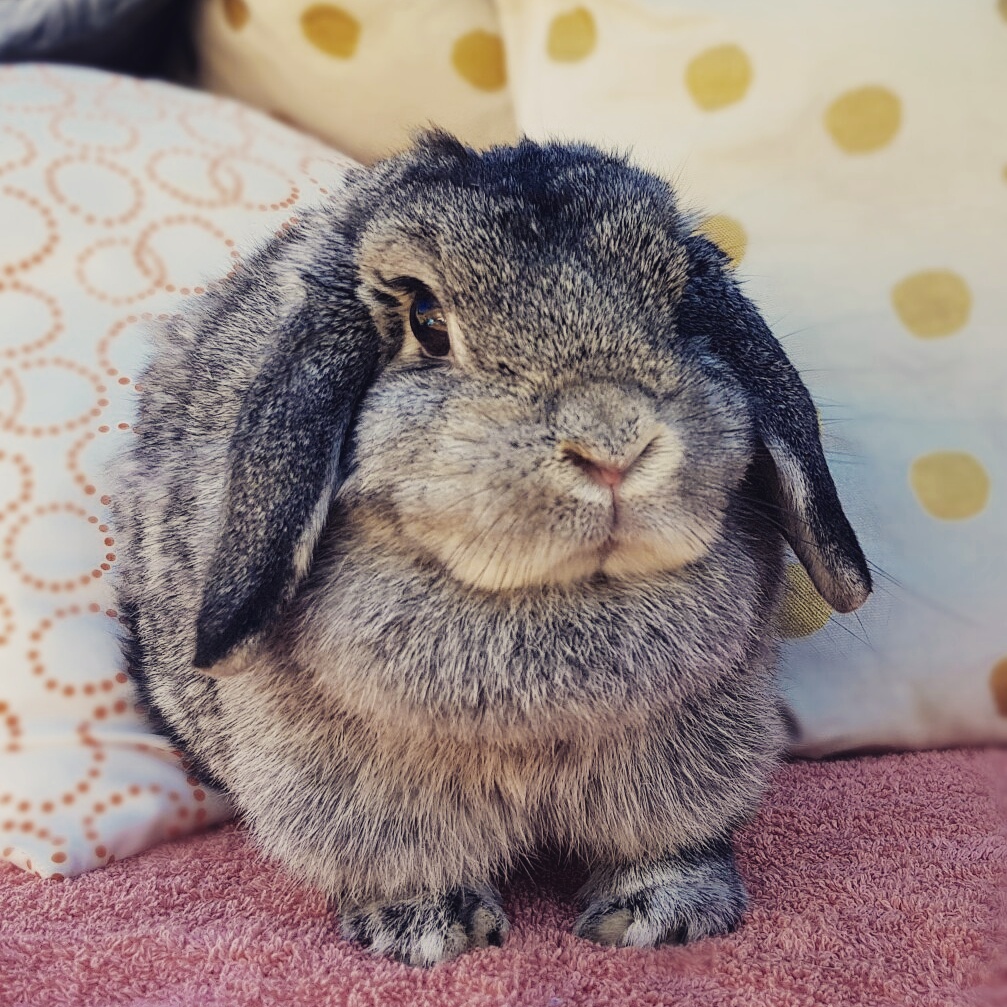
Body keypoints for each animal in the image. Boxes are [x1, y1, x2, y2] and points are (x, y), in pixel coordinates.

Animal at [111, 132, 871, 967]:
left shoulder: (693, 752)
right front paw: (428, 928)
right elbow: (398, 858)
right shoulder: (351, 788)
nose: (613, 445)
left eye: (678, 307)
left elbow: (667, 843)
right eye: (426, 320)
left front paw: (659, 915)